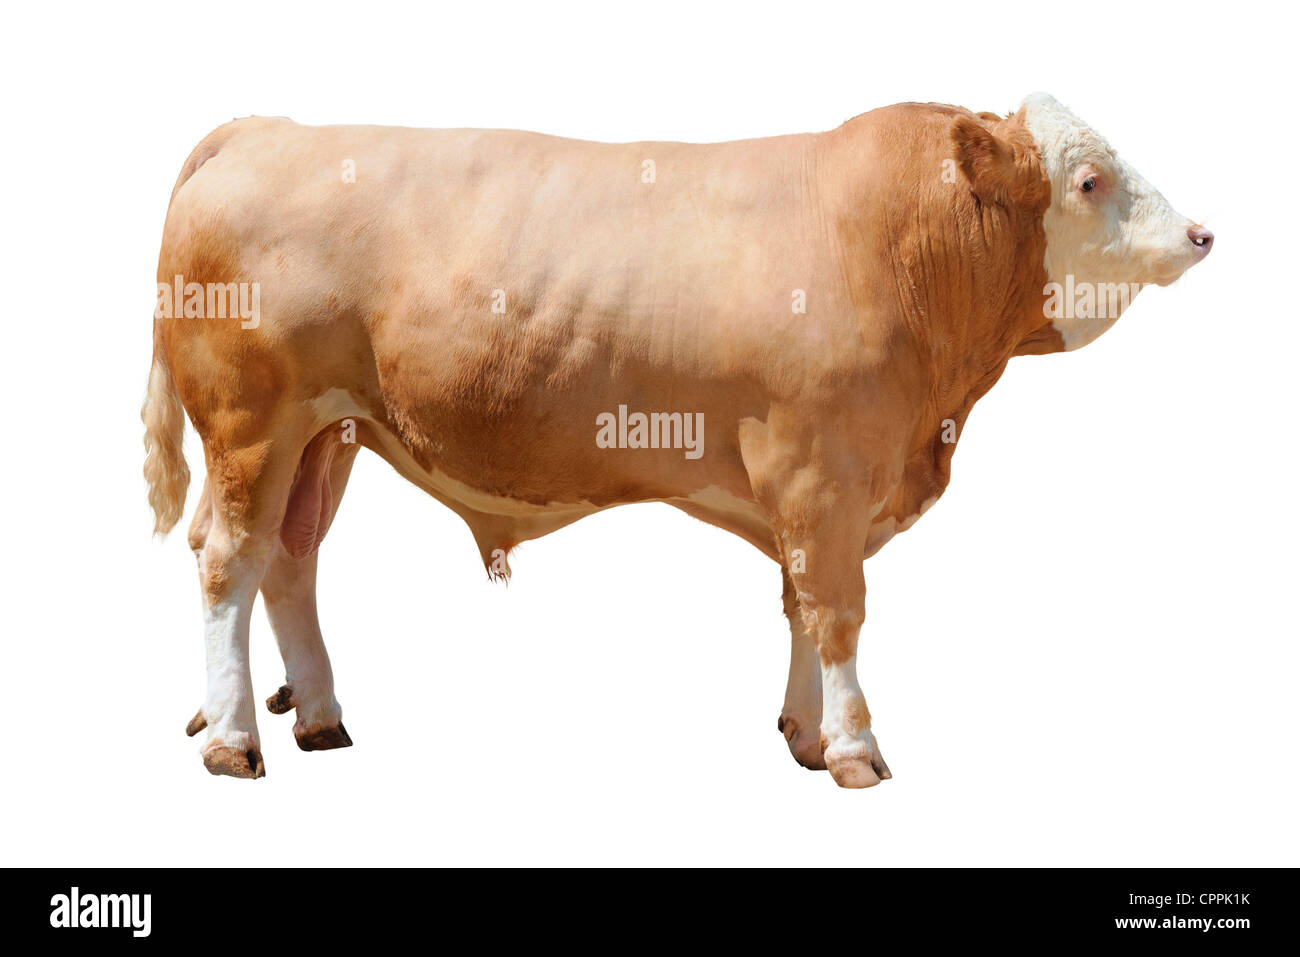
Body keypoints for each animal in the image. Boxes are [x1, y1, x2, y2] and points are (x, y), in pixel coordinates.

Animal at [143, 94, 1212, 787]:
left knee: (291, 559)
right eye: (1089, 179)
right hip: (251, 421)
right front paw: (855, 749)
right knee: (229, 560)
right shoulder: (823, 473)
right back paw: (234, 738)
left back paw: (320, 716)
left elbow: (797, 603)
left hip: (329, 432)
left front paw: (804, 735)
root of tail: (266, 130)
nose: (1201, 233)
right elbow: (838, 610)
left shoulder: (809, 487)